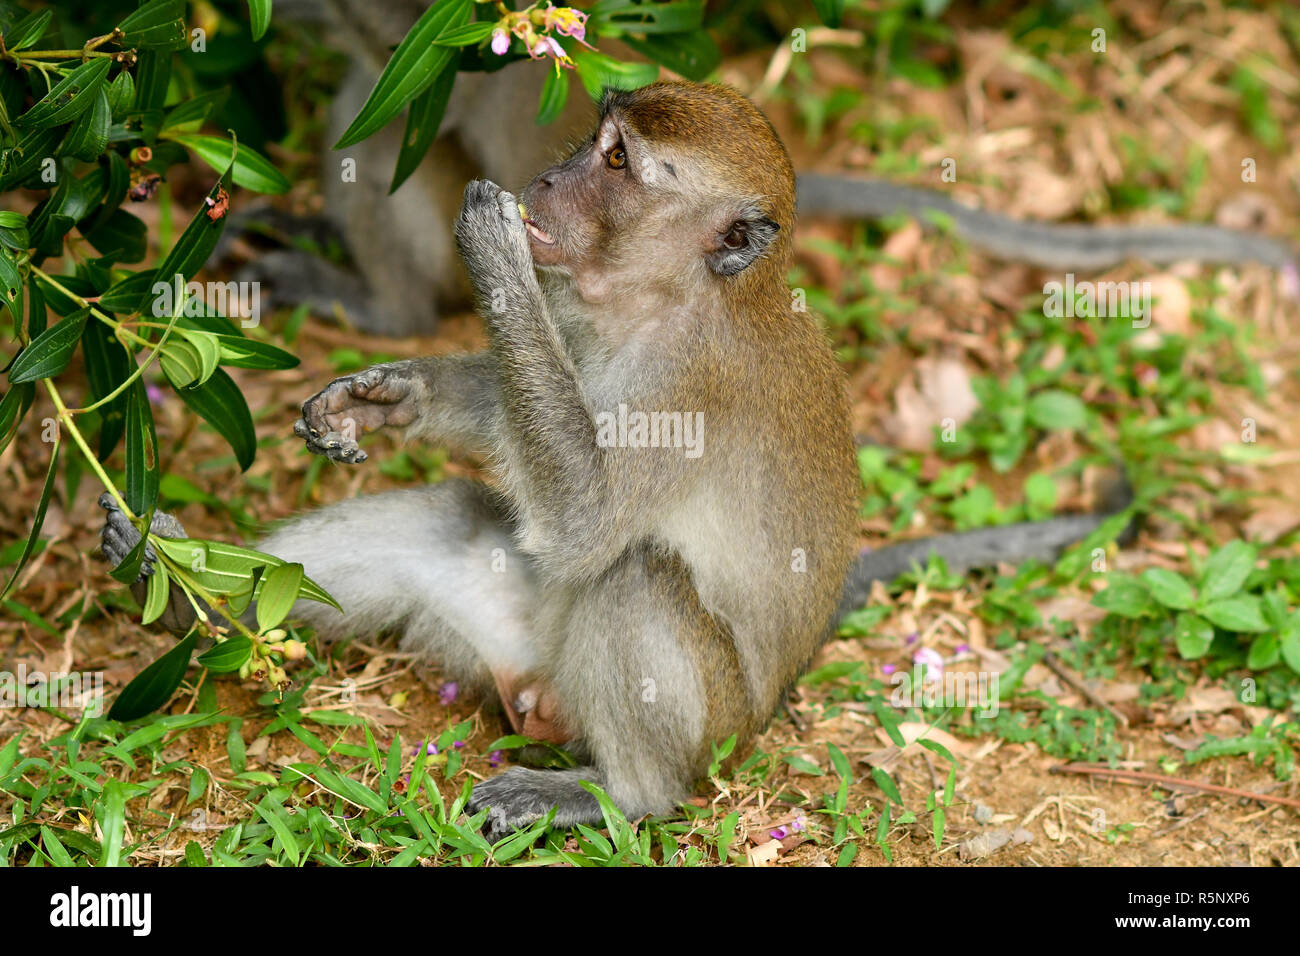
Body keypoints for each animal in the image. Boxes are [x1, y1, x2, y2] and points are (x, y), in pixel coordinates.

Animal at [100, 81, 1135, 837]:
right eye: (596, 139)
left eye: (615, 162)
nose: (550, 178)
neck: (664, 299)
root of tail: (542, 697)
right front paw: (393, 396)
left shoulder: (686, 386)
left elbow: (587, 522)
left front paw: (494, 251)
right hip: (507, 637)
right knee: (449, 520)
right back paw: (184, 584)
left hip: (711, 726)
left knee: (637, 573)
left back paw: (622, 795)